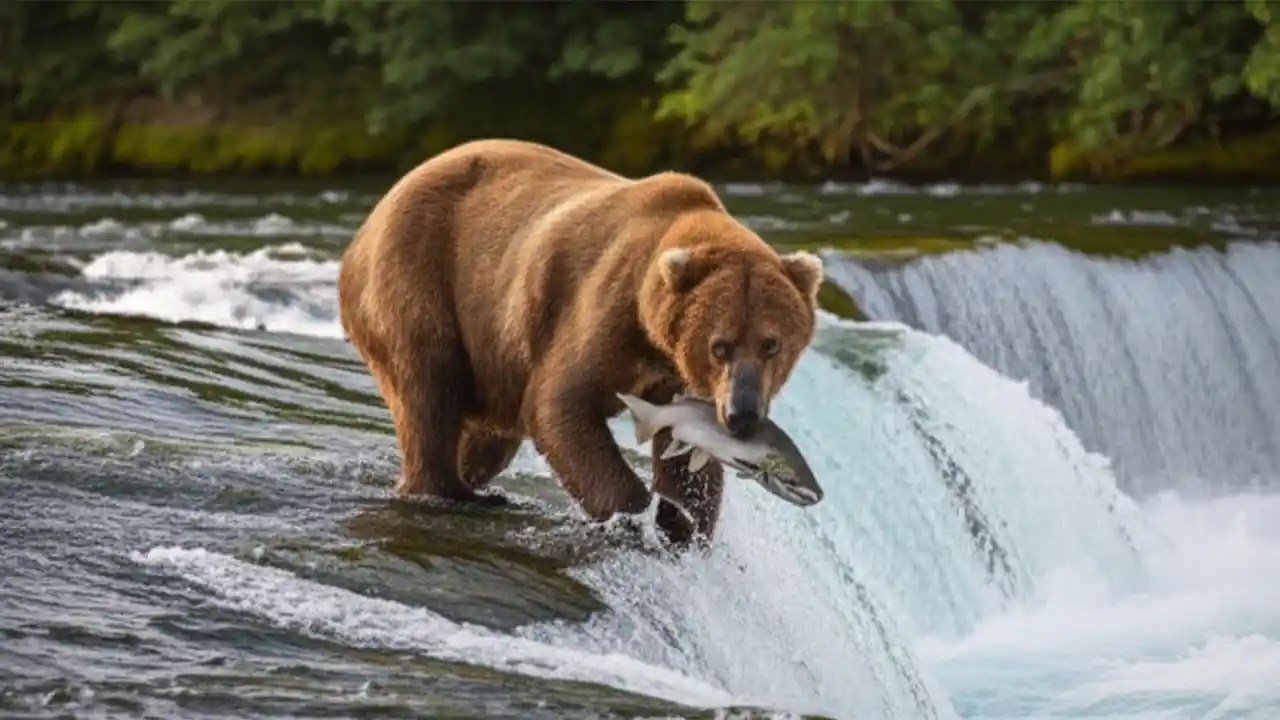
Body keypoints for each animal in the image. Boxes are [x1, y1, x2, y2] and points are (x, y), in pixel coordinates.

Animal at [337, 139, 823, 546]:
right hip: (418, 275)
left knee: (488, 436)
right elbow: (562, 403)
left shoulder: (678, 383)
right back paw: (447, 491)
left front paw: (682, 521)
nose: (741, 416)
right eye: (719, 346)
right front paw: (635, 512)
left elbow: (685, 458)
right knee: (430, 389)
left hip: (492, 357)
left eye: (771, 344)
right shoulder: (605, 309)